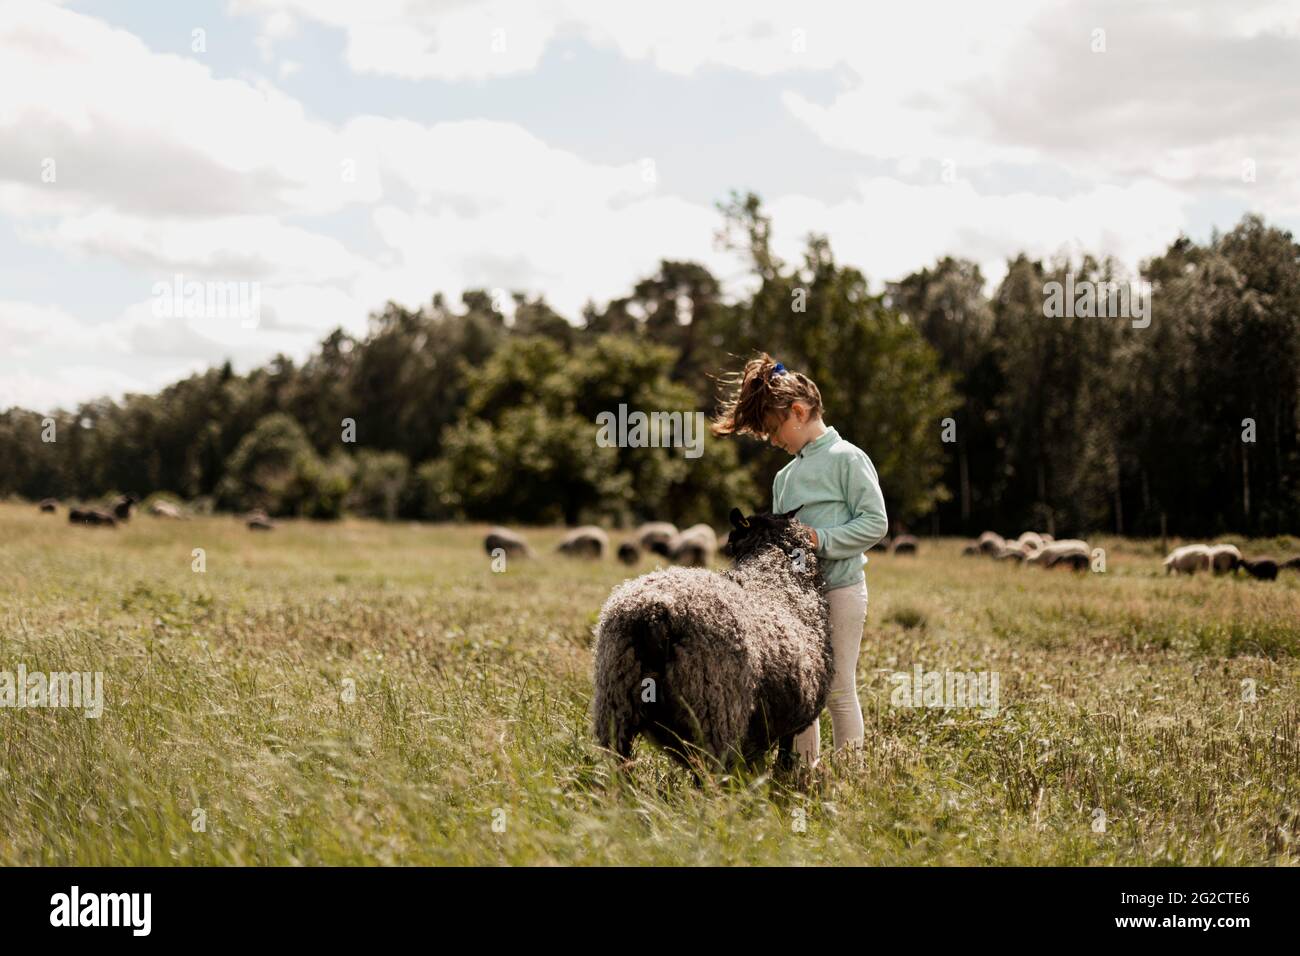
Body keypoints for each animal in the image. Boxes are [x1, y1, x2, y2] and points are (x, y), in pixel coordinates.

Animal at [591, 506, 831, 775]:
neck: (777, 575)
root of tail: (654, 614)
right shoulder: (792, 719)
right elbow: (784, 758)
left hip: (615, 705)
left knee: (619, 765)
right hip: (713, 713)